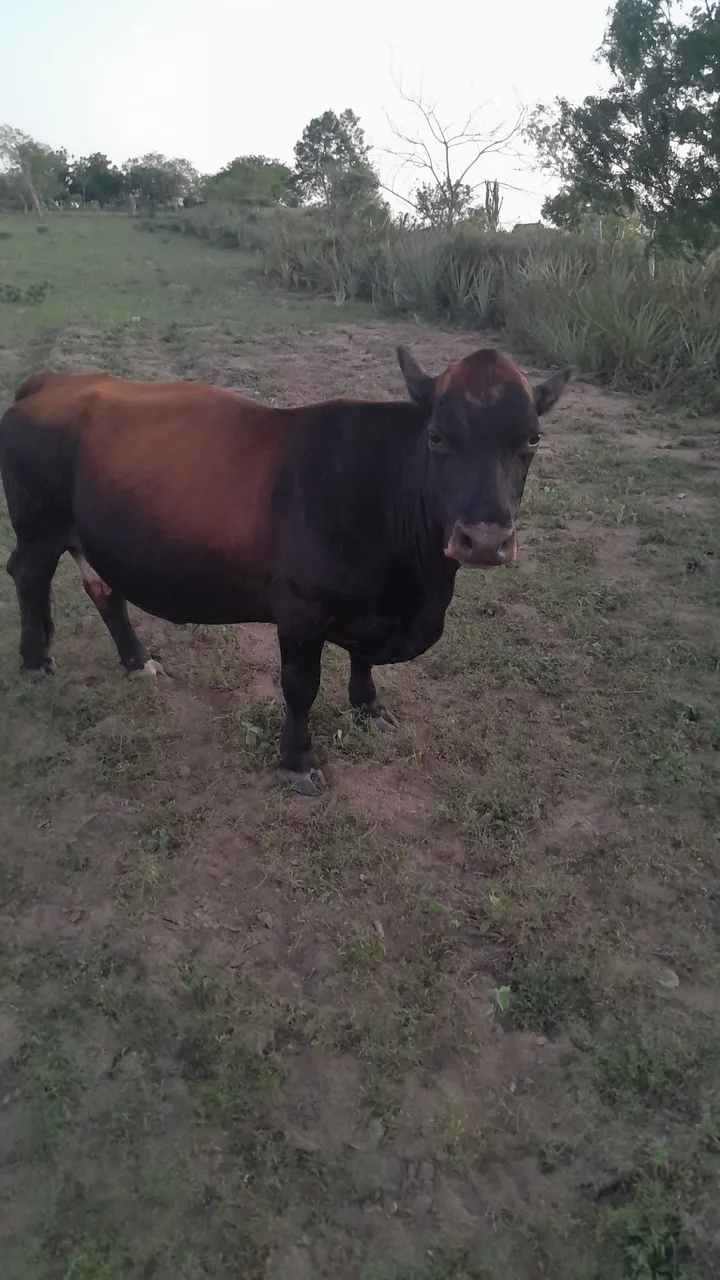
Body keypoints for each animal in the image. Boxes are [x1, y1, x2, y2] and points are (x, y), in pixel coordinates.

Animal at [0, 347, 571, 794]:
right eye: (435, 435)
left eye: (533, 439)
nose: (486, 538)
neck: (415, 590)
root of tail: (55, 381)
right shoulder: (300, 608)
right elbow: (301, 686)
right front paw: (297, 762)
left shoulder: (373, 612)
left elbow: (364, 661)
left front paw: (371, 709)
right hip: (40, 527)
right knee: (27, 575)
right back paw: (35, 661)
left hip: (84, 536)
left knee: (102, 588)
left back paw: (138, 661)